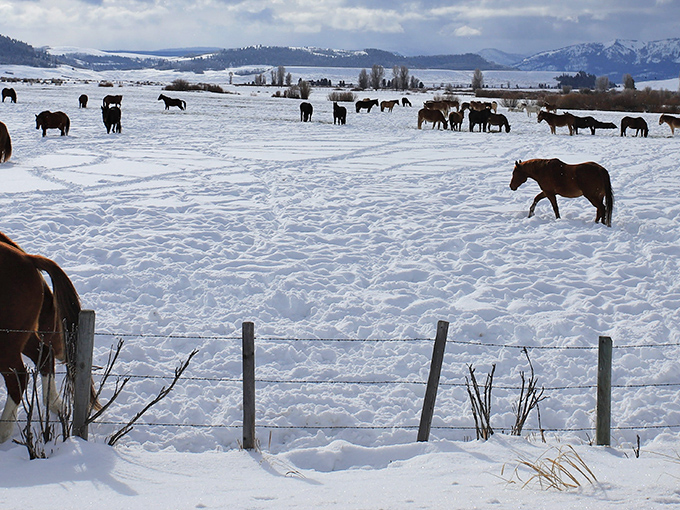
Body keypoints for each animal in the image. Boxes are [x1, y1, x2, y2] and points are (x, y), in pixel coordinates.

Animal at [0, 233, 99, 443]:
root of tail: (28, 259)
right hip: (22, 336)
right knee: (45, 356)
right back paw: (55, 404)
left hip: (7, 342)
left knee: (19, 377)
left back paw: (3, 432)